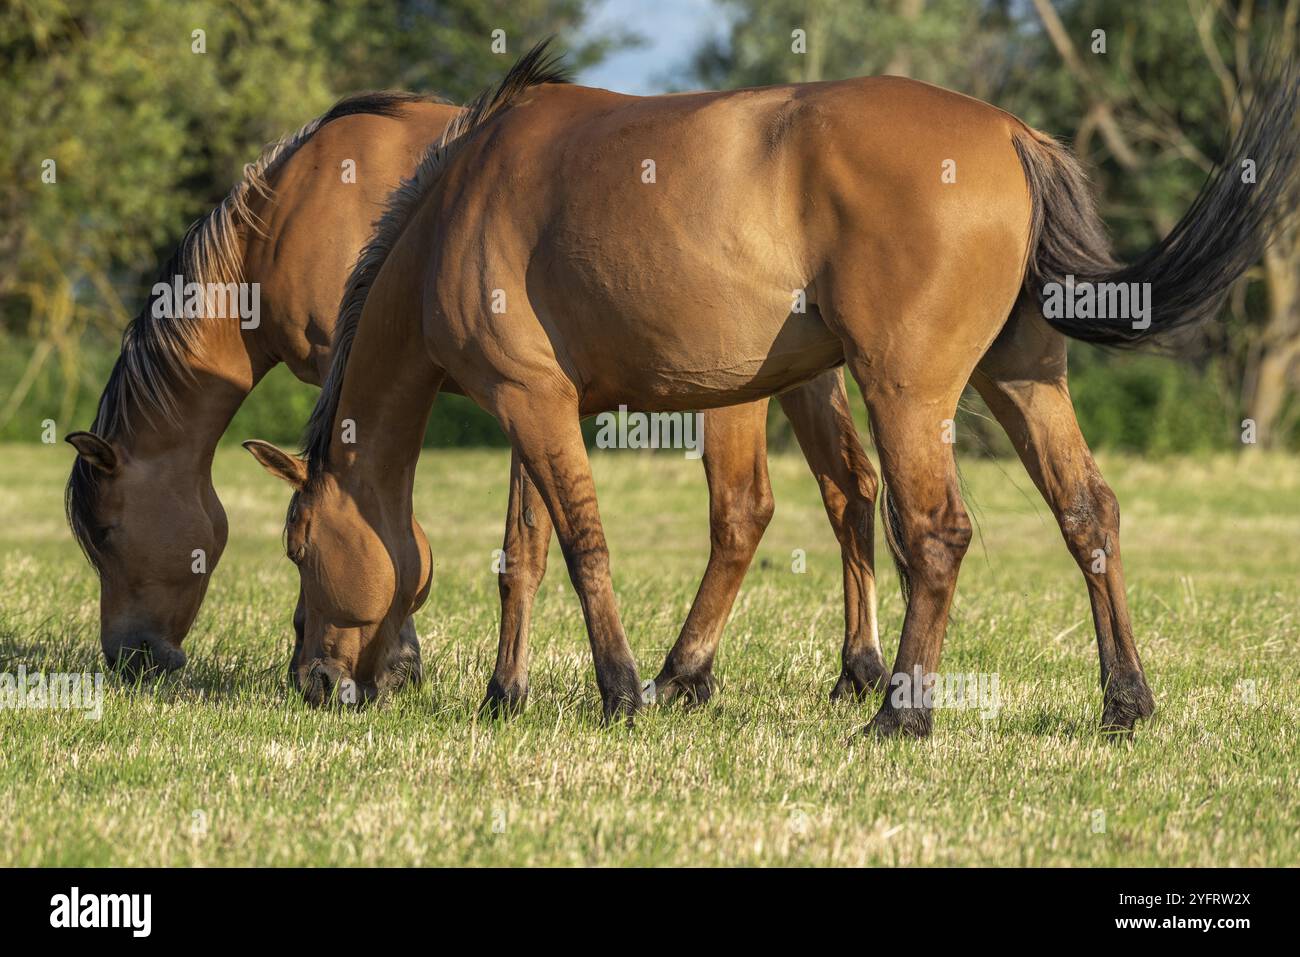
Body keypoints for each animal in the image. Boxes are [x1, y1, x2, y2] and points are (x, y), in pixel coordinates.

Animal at [63, 87, 888, 706]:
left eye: (103, 532)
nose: (130, 658)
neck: (288, 214)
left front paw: (396, 657)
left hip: (732, 393)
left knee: (742, 512)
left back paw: (685, 671)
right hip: (805, 375)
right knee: (850, 488)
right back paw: (857, 668)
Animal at [246, 42, 1298, 735]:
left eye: (298, 545)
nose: (309, 679)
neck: (455, 208)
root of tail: (1009, 134)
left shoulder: (530, 403)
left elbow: (583, 548)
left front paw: (619, 691)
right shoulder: (534, 406)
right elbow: (525, 551)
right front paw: (506, 695)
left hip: (905, 392)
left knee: (933, 534)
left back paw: (897, 714)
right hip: (1022, 379)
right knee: (1087, 512)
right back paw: (1125, 701)